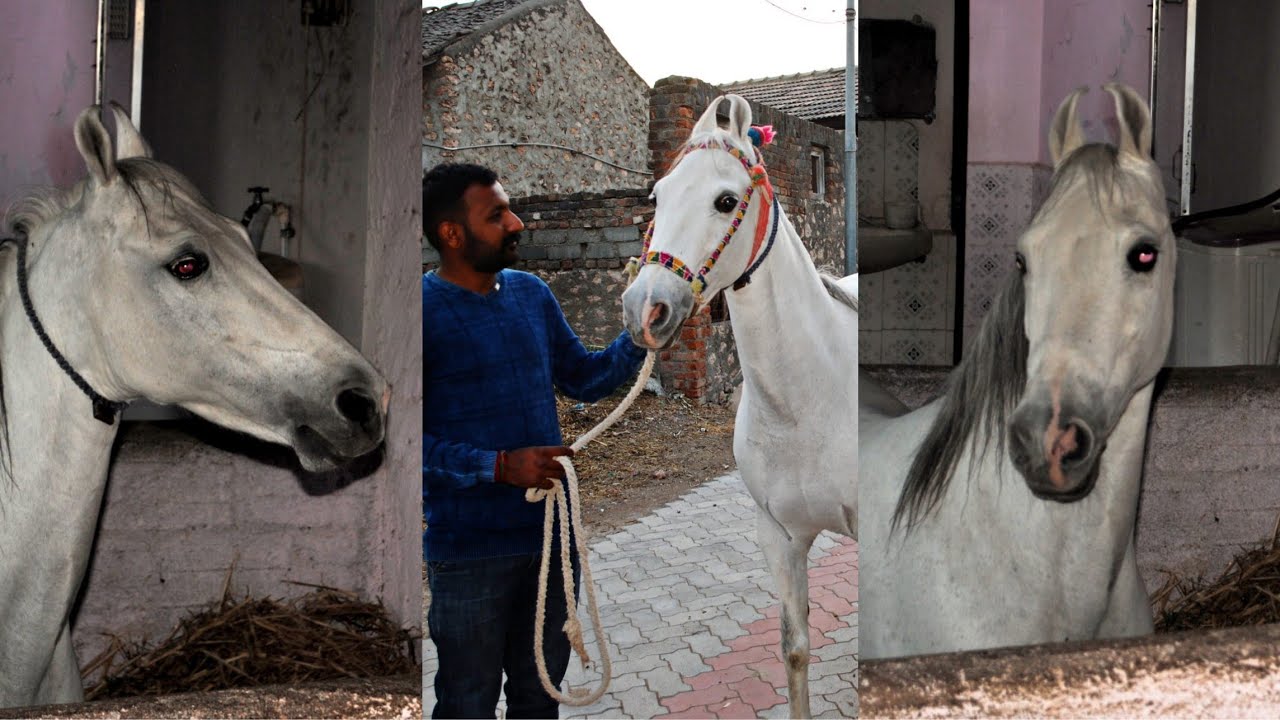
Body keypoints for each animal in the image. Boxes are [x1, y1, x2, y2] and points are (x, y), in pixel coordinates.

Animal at [621, 94, 858, 718]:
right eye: (657, 196)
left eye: (726, 201)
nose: (644, 309)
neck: (807, 403)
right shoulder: (778, 537)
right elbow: (795, 649)